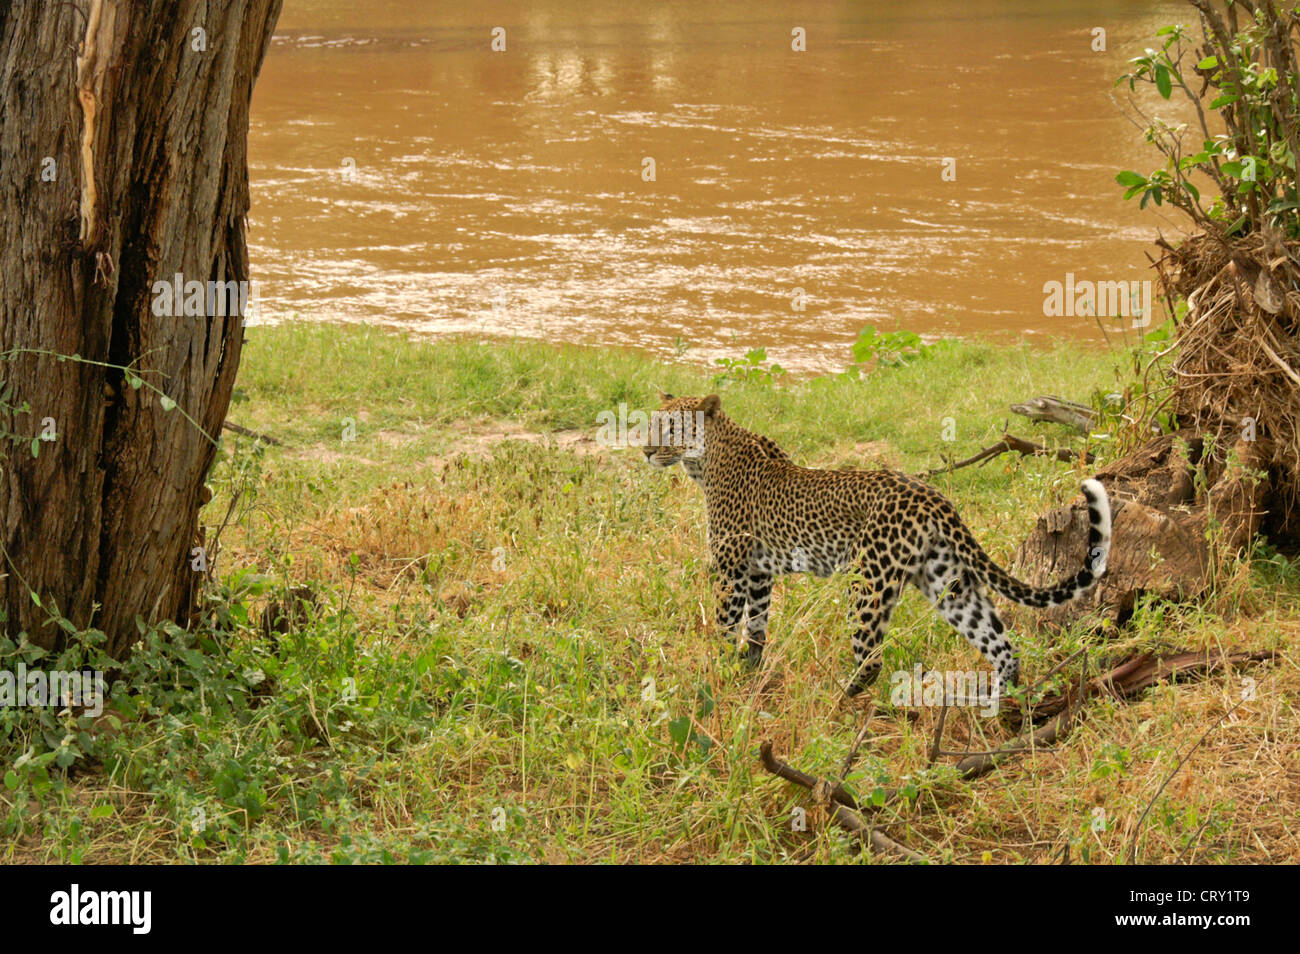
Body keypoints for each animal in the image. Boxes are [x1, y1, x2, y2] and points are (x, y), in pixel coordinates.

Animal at [641, 391, 1111, 698]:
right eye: (652, 424)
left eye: (673, 428)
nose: (646, 451)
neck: (706, 461)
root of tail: (931, 495)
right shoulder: (758, 572)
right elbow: (756, 628)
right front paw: (747, 670)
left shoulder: (733, 569)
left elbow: (725, 625)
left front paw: (718, 671)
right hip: (946, 581)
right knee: (1001, 647)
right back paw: (992, 703)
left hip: (868, 579)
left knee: (872, 660)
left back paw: (837, 699)